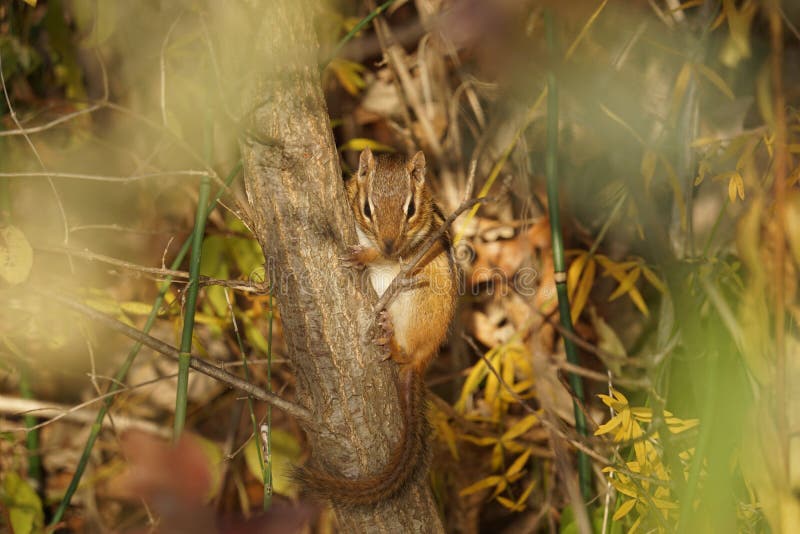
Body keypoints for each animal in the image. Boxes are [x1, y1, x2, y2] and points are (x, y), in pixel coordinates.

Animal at [296, 148, 457, 506]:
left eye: (410, 209)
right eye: (367, 208)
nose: (388, 244)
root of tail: (422, 361)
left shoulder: (418, 246)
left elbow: (395, 257)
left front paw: (365, 257)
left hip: (421, 305)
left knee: (405, 353)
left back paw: (392, 341)